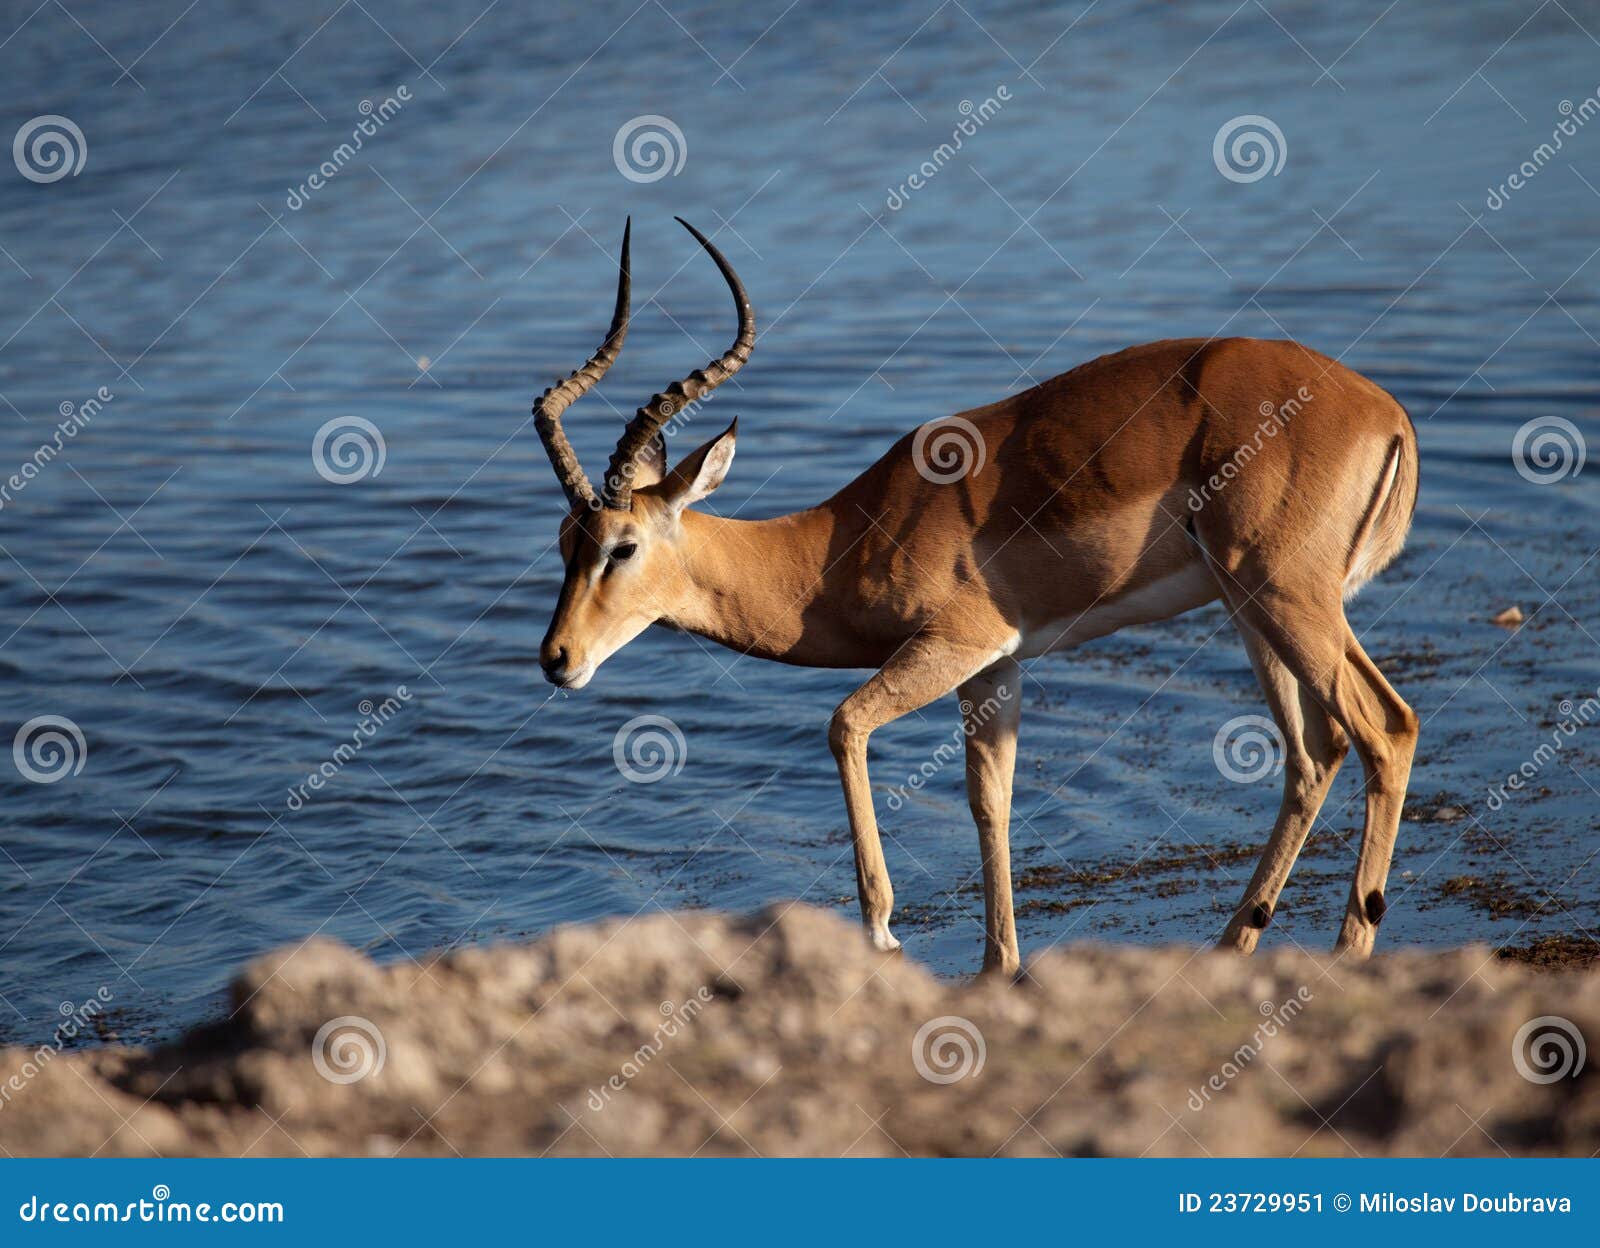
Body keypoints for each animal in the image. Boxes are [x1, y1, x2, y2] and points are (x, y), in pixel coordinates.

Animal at [536, 218, 1419, 975]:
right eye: (564, 541)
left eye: (622, 546)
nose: (556, 659)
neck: (834, 547)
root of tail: (1386, 412)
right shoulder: (996, 666)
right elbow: (990, 801)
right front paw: (999, 967)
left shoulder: (954, 645)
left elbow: (845, 725)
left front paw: (884, 934)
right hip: (1253, 607)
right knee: (1315, 751)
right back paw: (1234, 945)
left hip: (1284, 597)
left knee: (1386, 728)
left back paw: (1349, 950)